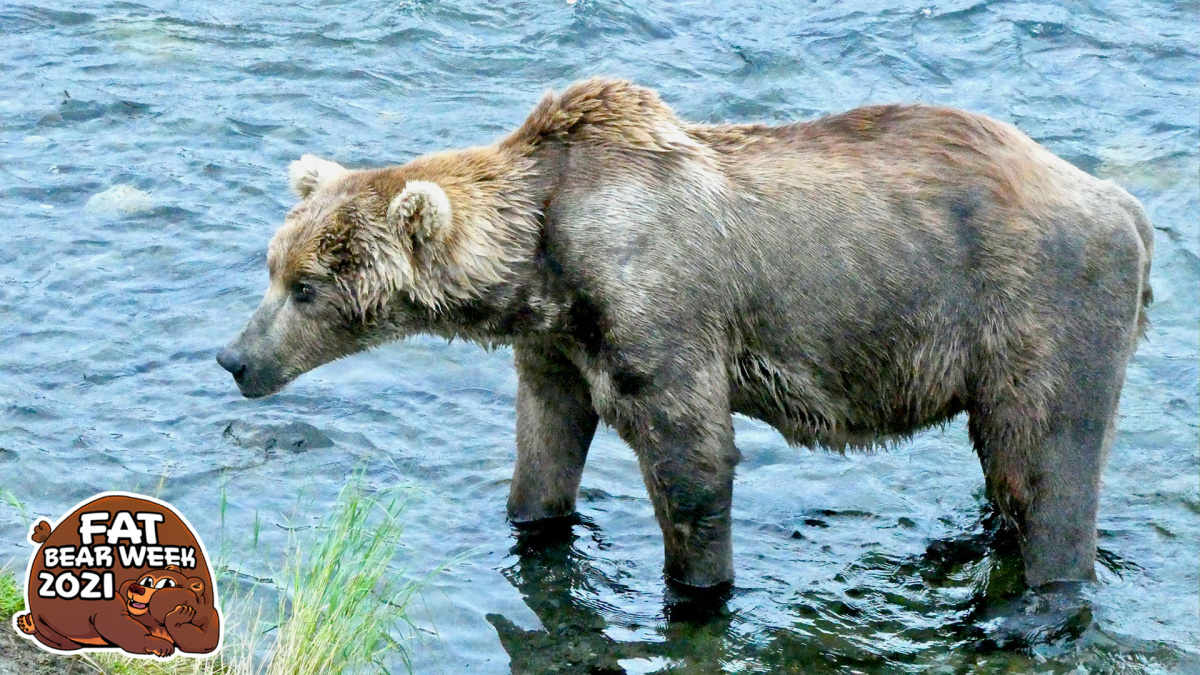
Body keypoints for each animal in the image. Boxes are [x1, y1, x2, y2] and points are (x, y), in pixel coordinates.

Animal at [217, 78, 1153, 592]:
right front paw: (533, 523)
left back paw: (1036, 600)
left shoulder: (658, 311)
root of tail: (1121, 202)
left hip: (1034, 310)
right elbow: (546, 443)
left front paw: (697, 585)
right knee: (1006, 466)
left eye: (306, 286)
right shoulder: (557, 345)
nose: (234, 357)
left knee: (1049, 463)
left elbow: (693, 462)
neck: (544, 257)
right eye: (271, 265)